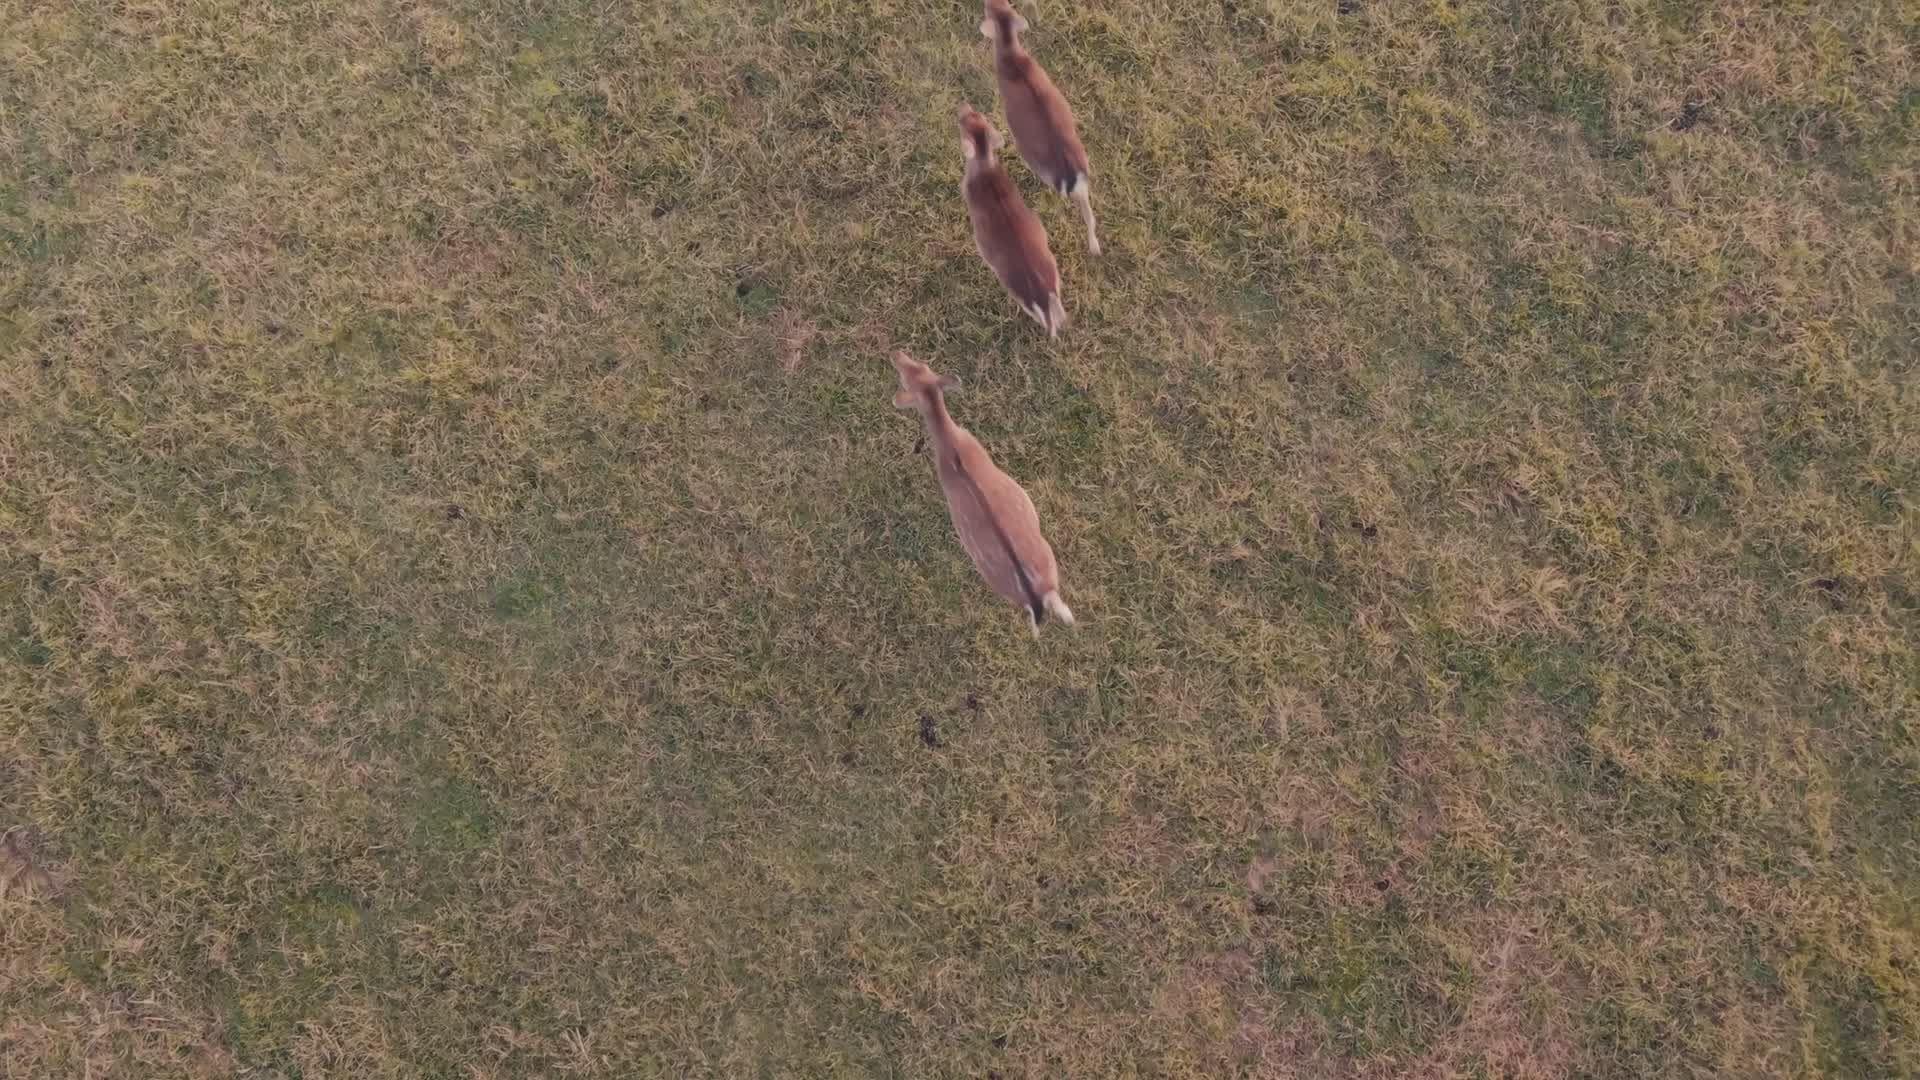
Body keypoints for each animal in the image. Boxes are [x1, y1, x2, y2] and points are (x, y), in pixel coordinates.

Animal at [889, 350, 1075, 636]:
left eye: (909, 374)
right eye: (920, 366)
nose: (895, 353)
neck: (950, 443)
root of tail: (1035, 594)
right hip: (1048, 563)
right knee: (1061, 607)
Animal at [957, 104, 1067, 338]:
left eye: (962, 121)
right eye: (976, 115)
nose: (963, 105)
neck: (984, 163)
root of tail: (1042, 293)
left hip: (1018, 294)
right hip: (1054, 276)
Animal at [981, 0, 1100, 255]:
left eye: (990, 10)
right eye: (1004, 5)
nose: (989, 2)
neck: (1012, 57)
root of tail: (1071, 174)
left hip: (1045, 172)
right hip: (1084, 175)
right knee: (1089, 215)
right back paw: (1095, 248)